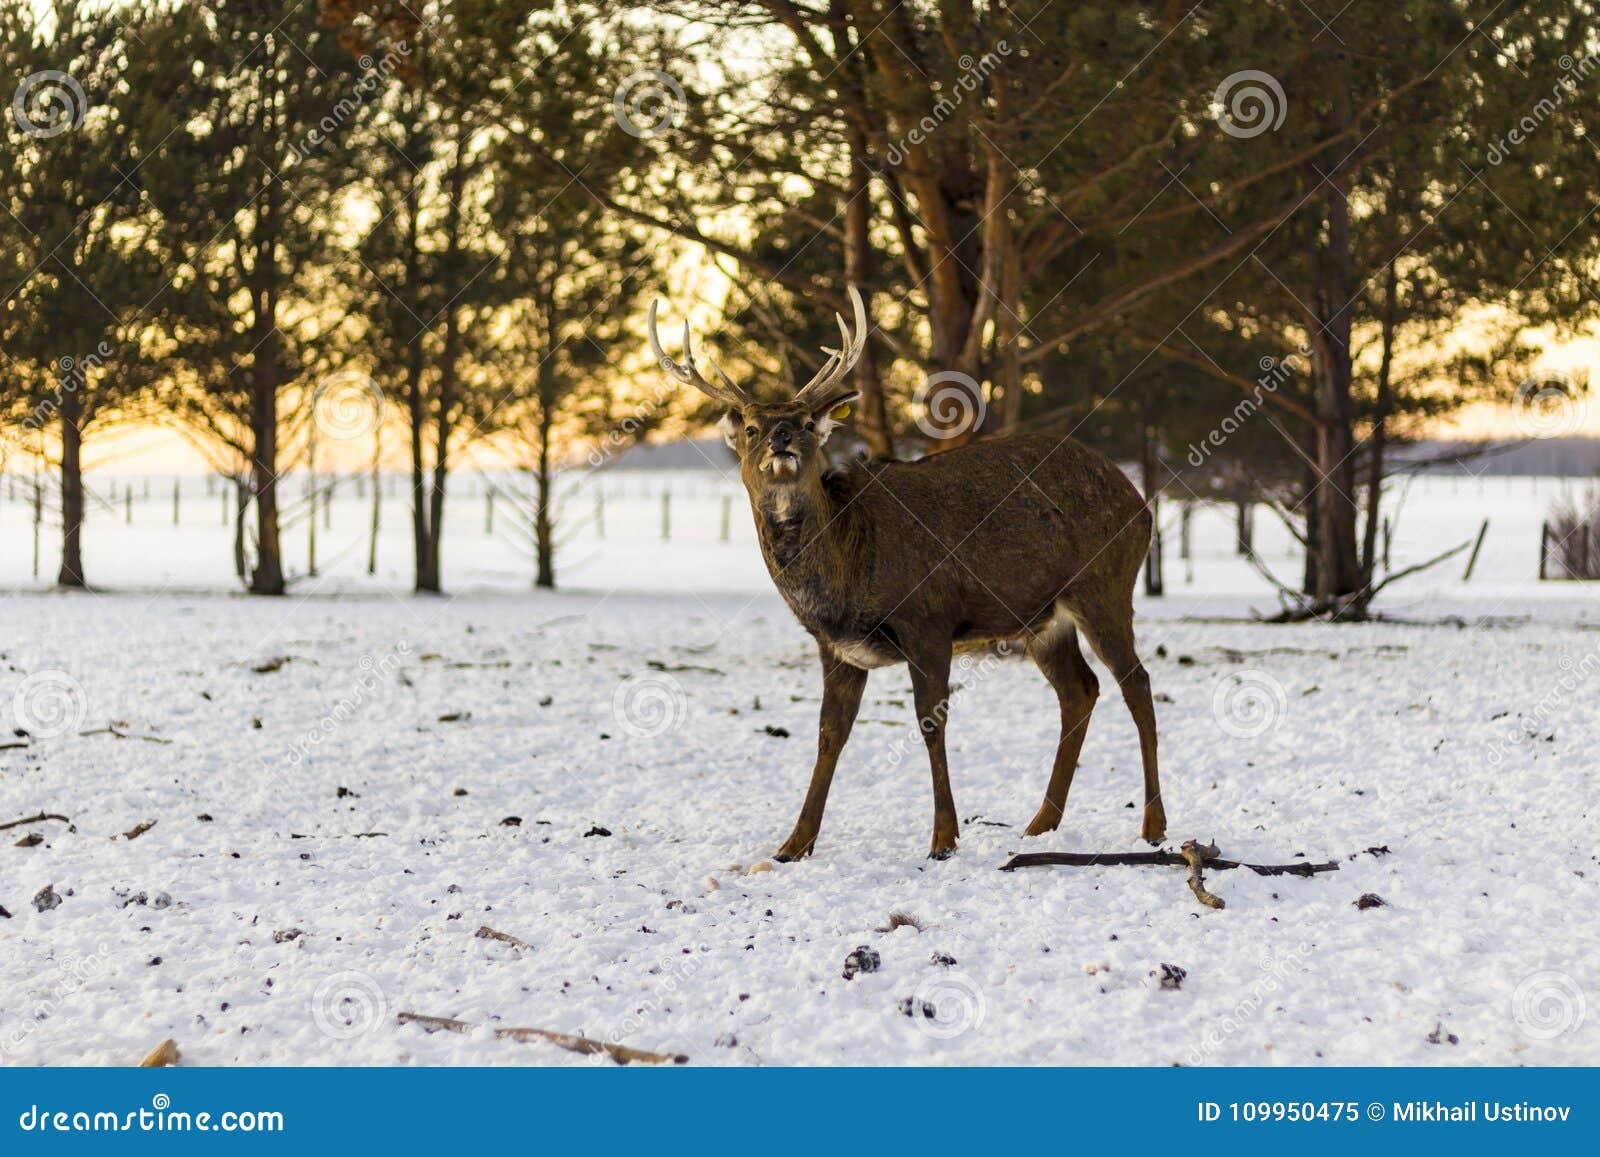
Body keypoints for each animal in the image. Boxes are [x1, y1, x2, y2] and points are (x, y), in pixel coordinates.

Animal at [647, 287, 1166, 861]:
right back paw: (1040, 825)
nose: (781, 436)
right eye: (752, 428)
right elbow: (829, 733)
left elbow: (928, 721)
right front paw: (793, 844)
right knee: (1080, 690)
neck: (848, 569)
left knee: (1136, 683)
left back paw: (1153, 825)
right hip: (1045, 620)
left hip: (1104, 585)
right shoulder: (836, 648)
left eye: (805, 422)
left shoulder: (928, 620)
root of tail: (1140, 504)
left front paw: (943, 838)